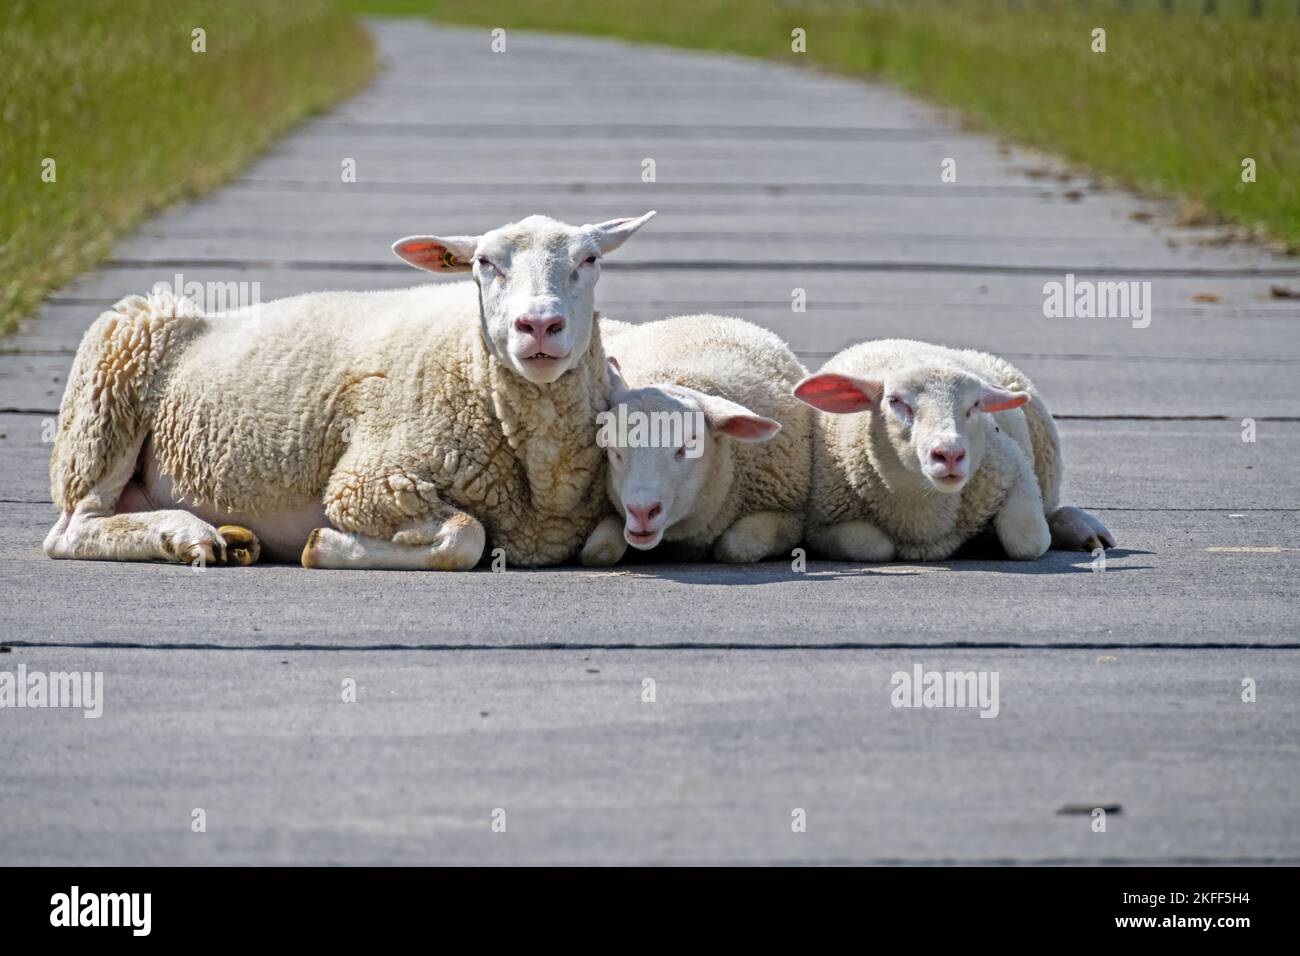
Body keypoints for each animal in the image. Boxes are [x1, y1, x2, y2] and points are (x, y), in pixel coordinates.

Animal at [43, 212, 656, 570]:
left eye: (590, 259)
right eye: (484, 263)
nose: (540, 326)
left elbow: (607, 542)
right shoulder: (369, 480)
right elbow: (465, 538)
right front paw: (328, 546)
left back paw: (232, 538)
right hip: (105, 403)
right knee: (74, 530)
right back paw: (188, 535)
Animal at [579, 315, 813, 565]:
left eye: (689, 445)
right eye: (613, 450)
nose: (642, 512)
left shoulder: (792, 516)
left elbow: (735, 546)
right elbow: (600, 550)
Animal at [794, 338, 1115, 562]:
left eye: (975, 405)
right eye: (896, 400)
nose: (949, 455)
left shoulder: (1015, 468)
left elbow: (1027, 539)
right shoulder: (821, 525)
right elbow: (874, 547)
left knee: (1050, 510)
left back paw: (1086, 531)